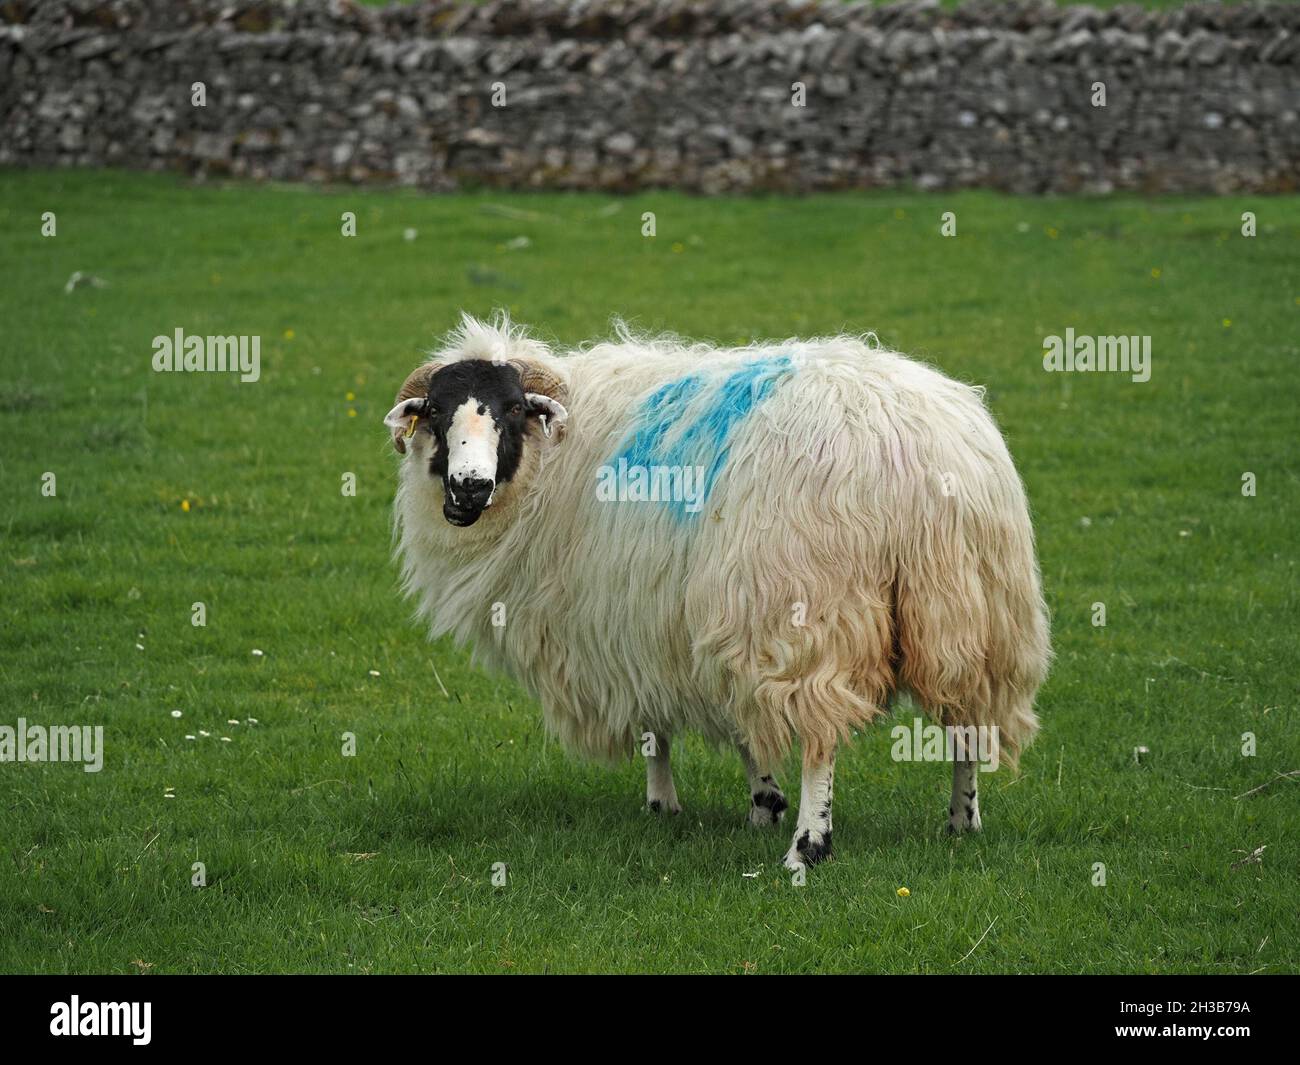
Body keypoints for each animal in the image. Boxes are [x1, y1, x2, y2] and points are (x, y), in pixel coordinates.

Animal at [385, 314, 1050, 871]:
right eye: (437, 414)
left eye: (513, 409)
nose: (469, 488)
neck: (549, 460)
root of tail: (912, 448)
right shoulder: (690, 615)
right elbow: (739, 723)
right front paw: (761, 804)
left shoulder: (633, 619)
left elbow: (659, 727)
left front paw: (667, 805)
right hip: (974, 612)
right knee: (968, 723)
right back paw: (962, 820)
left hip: (810, 608)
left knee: (822, 739)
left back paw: (808, 847)